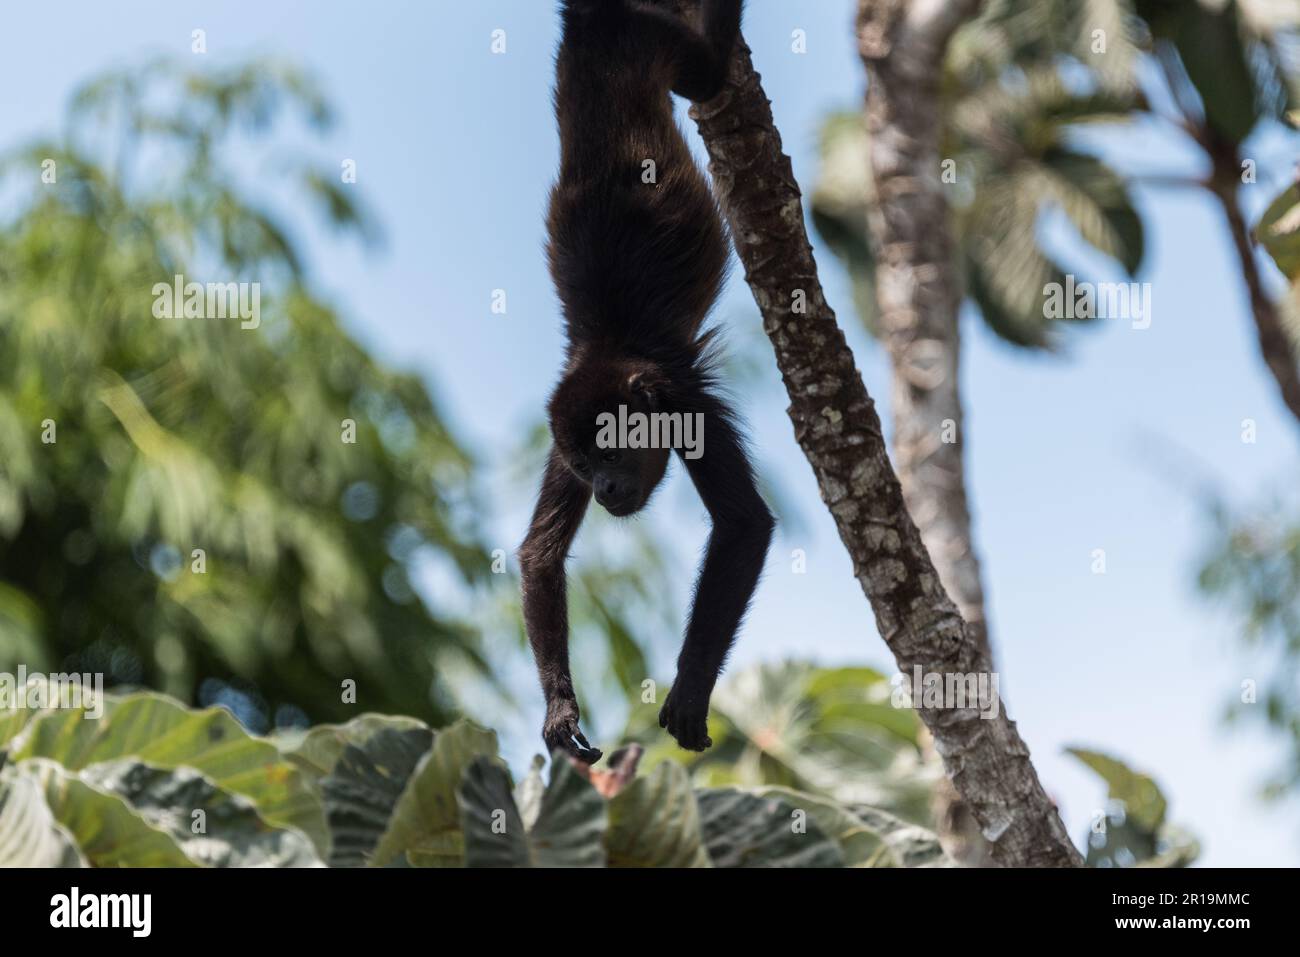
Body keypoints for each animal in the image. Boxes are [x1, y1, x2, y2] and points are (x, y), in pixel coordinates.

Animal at [519, 0, 771, 764]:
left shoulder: (688, 401)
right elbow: (539, 553)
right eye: (584, 462)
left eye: (613, 449)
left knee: (706, 72)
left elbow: (743, 525)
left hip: (653, 36)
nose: (602, 487)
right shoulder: (558, 426)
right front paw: (559, 708)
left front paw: (689, 689)